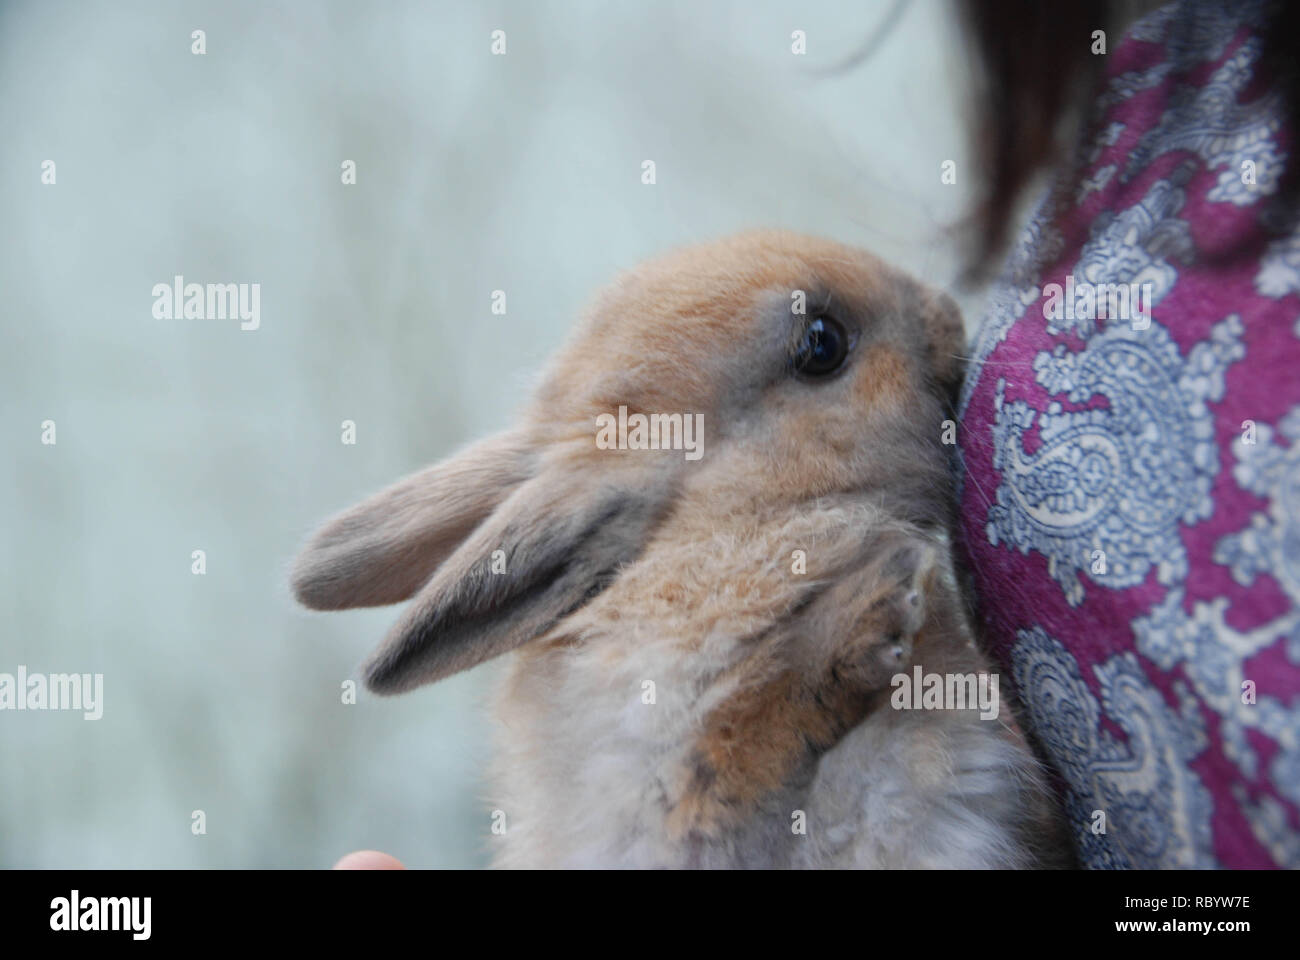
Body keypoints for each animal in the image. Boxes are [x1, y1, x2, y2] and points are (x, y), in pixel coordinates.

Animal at [292, 230, 1069, 869]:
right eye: (822, 344)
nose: (947, 311)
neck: (730, 520)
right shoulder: (672, 793)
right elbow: (756, 737)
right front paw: (877, 598)